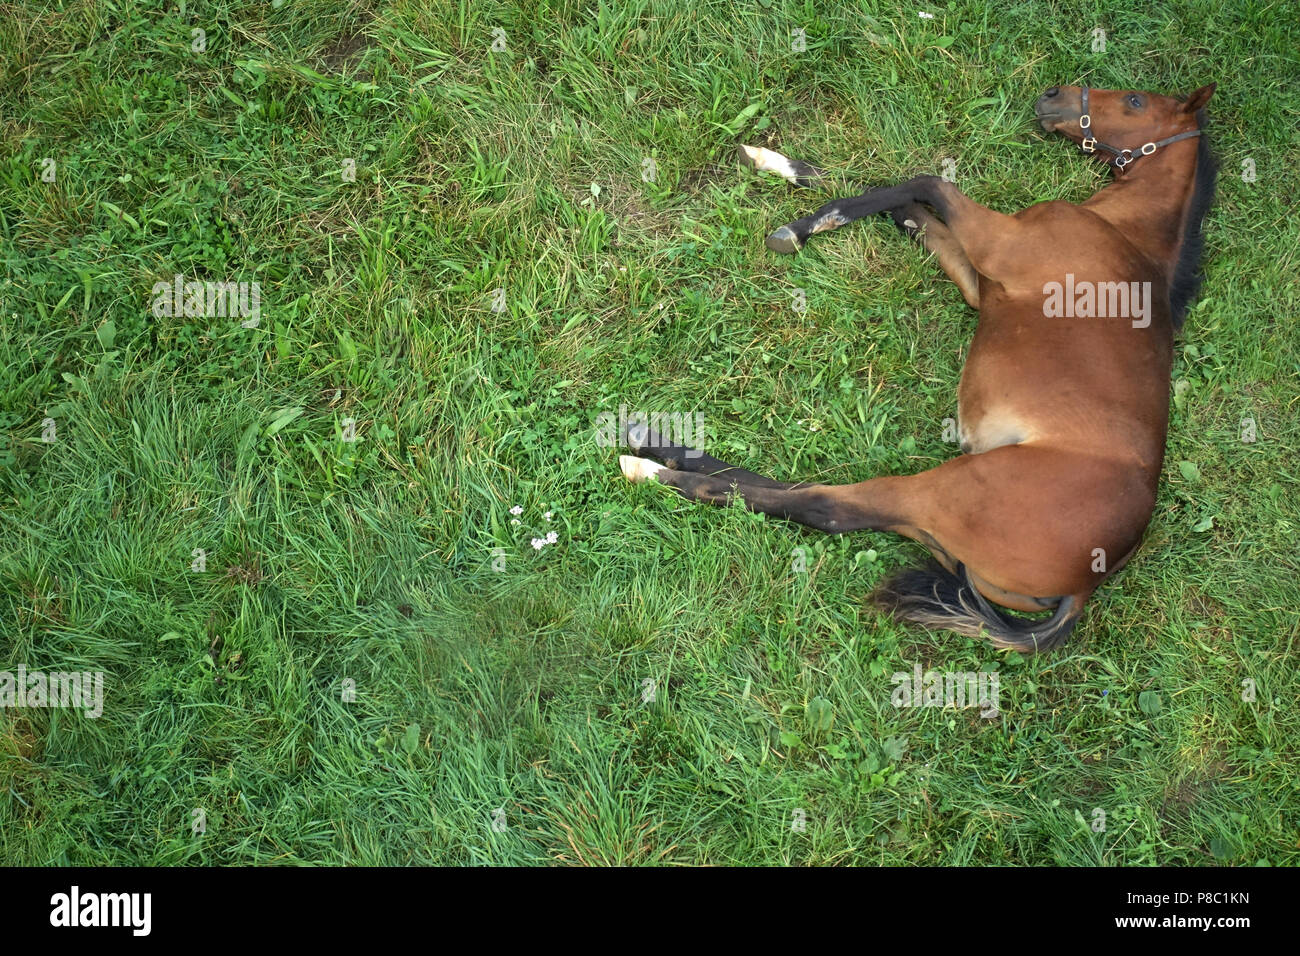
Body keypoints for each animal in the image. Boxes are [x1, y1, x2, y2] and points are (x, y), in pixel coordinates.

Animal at [616, 83, 1218, 652]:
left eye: (1136, 100)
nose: (1054, 97)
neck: (1127, 237)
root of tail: (1086, 586)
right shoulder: (979, 285)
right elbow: (904, 201)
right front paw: (783, 166)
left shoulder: (999, 246)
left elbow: (923, 182)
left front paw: (798, 225)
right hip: (934, 530)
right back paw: (654, 439)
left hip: (938, 493)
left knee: (822, 505)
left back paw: (650, 466)